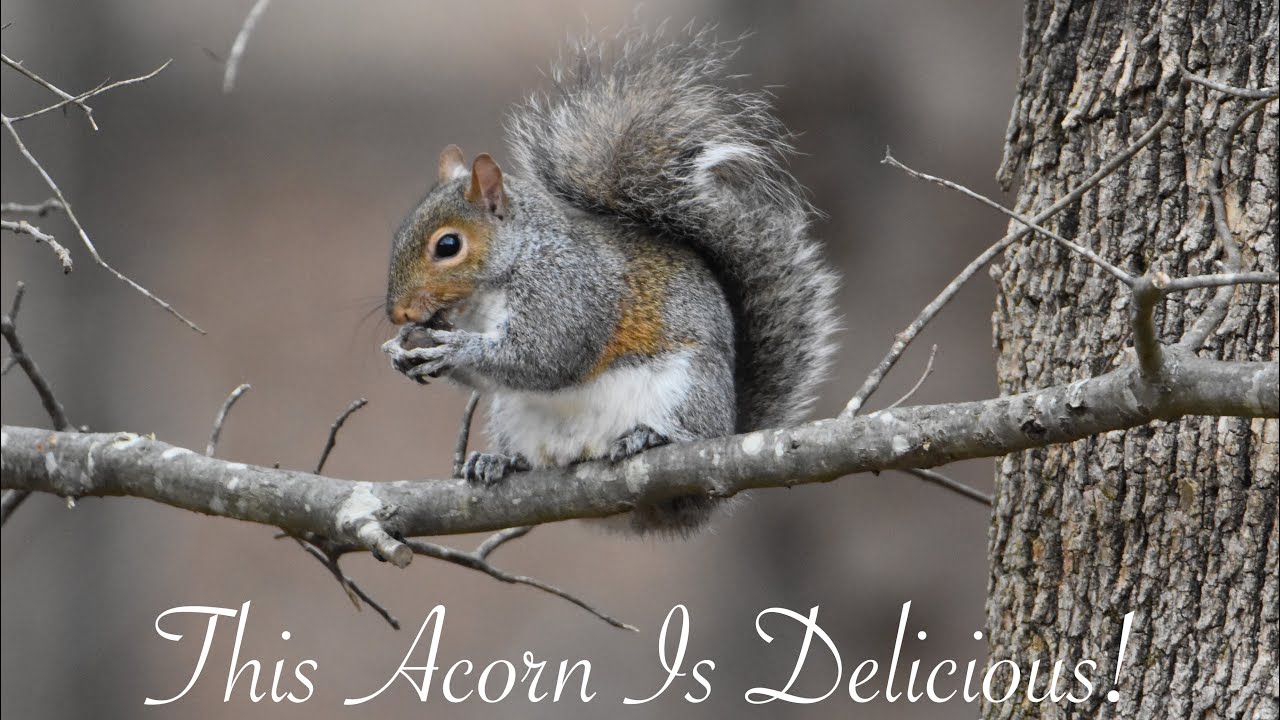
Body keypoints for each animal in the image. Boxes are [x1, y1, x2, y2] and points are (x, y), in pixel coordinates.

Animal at [381, 28, 839, 536]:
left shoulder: (567, 288)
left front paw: (455, 348)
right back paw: (500, 462)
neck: (491, 291)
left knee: (686, 429)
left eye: (448, 245)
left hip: (685, 392)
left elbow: (548, 355)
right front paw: (403, 353)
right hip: (511, 415)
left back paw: (649, 438)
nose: (398, 313)